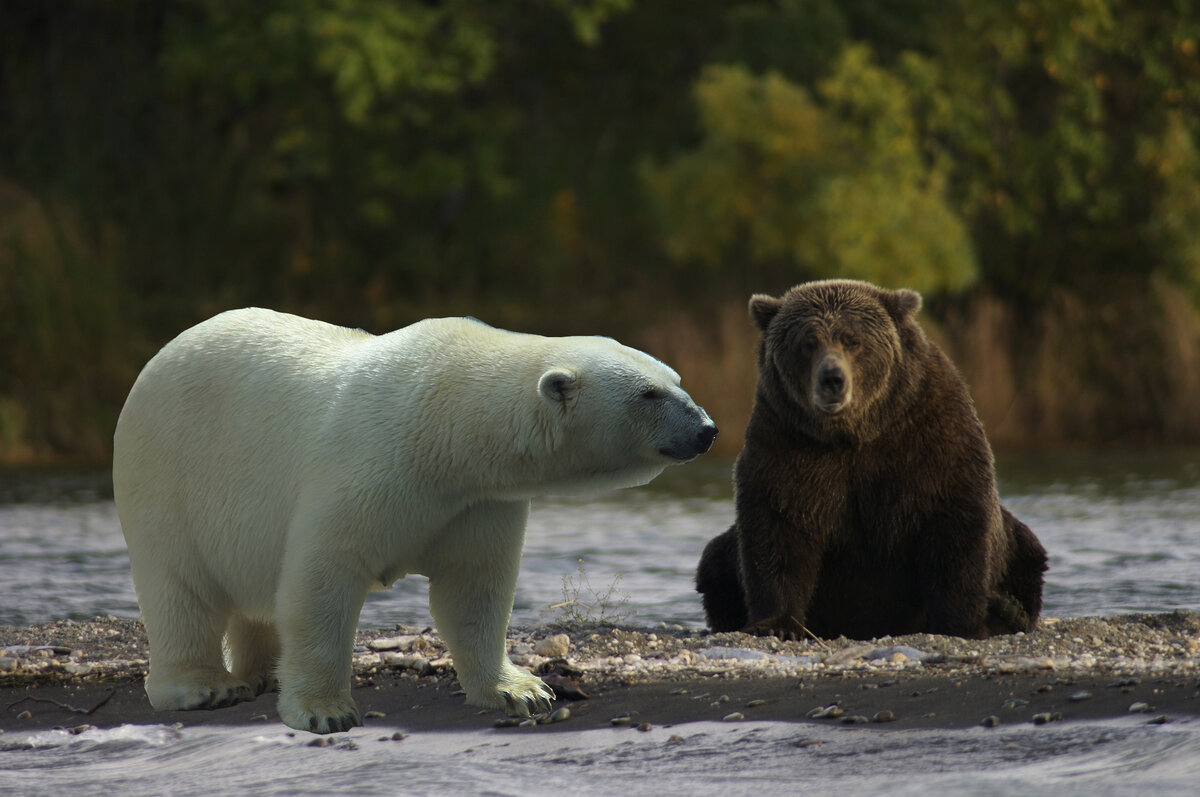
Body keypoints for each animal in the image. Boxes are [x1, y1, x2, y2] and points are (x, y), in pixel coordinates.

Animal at [112, 307, 715, 729]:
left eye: (676, 378)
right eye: (649, 393)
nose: (707, 429)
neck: (447, 426)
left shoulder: (476, 501)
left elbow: (473, 589)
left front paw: (520, 690)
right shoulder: (371, 463)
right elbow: (322, 577)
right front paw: (326, 711)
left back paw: (260, 672)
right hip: (167, 472)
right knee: (180, 587)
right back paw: (205, 687)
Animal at [700, 279, 1046, 643]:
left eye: (853, 340)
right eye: (808, 342)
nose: (832, 379)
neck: (854, 434)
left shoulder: (929, 436)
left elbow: (954, 525)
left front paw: (962, 623)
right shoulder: (787, 442)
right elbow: (778, 526)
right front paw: (776, 624)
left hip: (1014, 546)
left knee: (1027, 552)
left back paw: (1005, 610)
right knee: (715, 561)